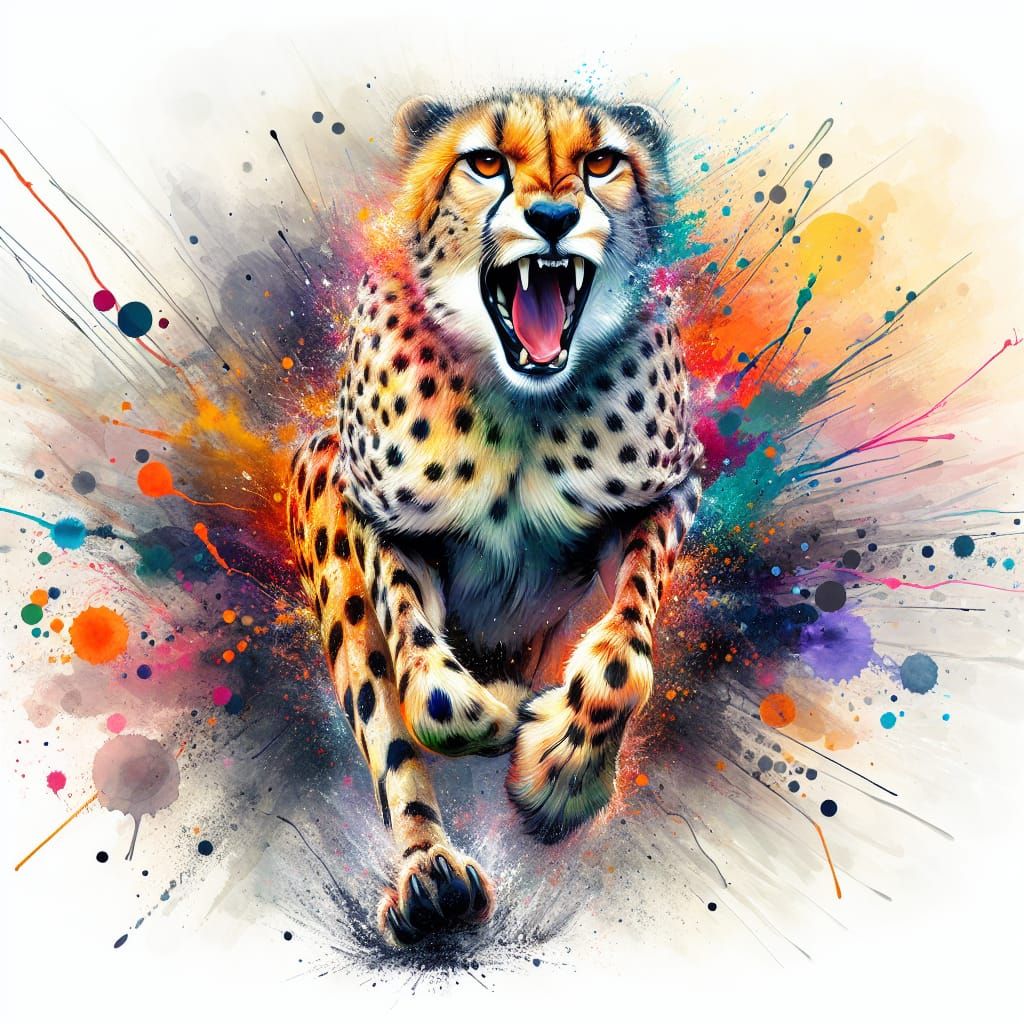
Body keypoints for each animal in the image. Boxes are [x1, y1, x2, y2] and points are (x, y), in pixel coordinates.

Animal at [286, 89, 703, 945]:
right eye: (485, 162)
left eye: (601, 161)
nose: (552, 215)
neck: (524, 404)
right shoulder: (368, 509)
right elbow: (423, 692)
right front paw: (492, 712)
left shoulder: (669, 494)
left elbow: (624, 662)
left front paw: (560, 776)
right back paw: (432, 878)